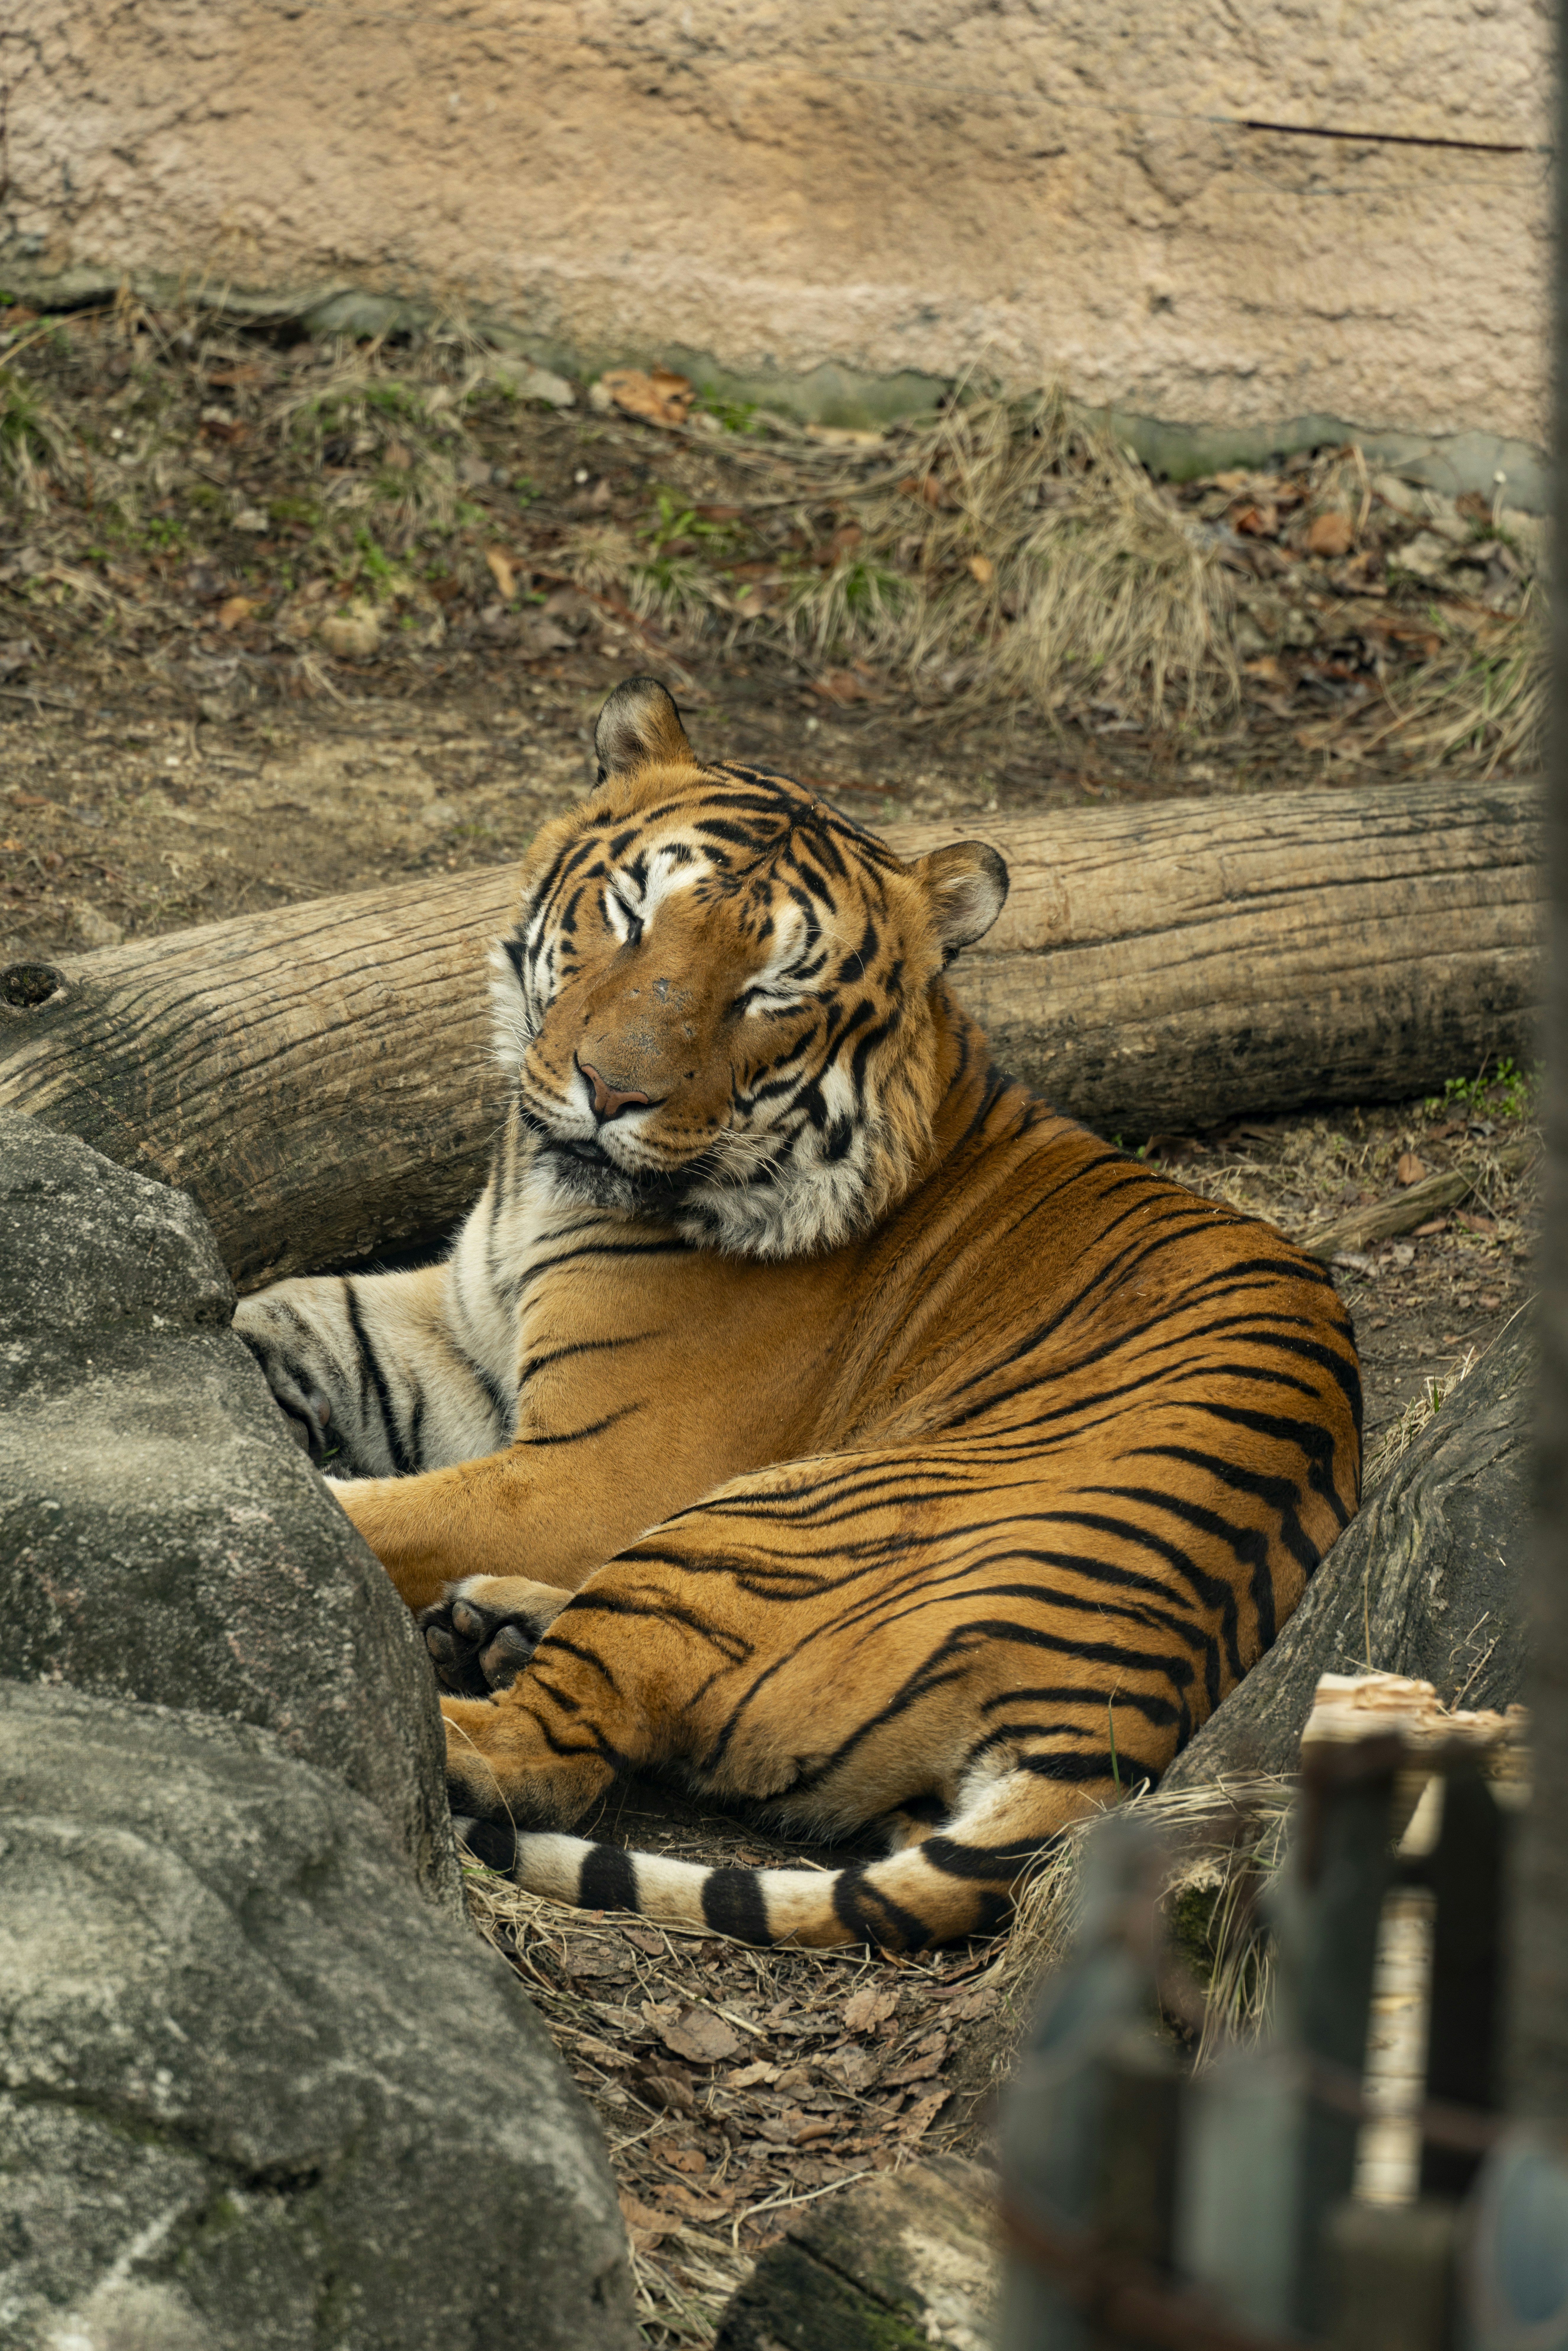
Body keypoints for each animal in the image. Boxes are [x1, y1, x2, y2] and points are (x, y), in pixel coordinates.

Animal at [234, 675, 1361, 1950]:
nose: (609, 1093)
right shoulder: (458, 1338)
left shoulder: (586, 1471)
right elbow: (291, 1319)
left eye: (772, 990)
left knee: (536, 1757)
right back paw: (495, 1622)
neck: (544, 1188)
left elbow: (377, 1515)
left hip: (749, 1525)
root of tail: (1116, 1712)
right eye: (630, 913)